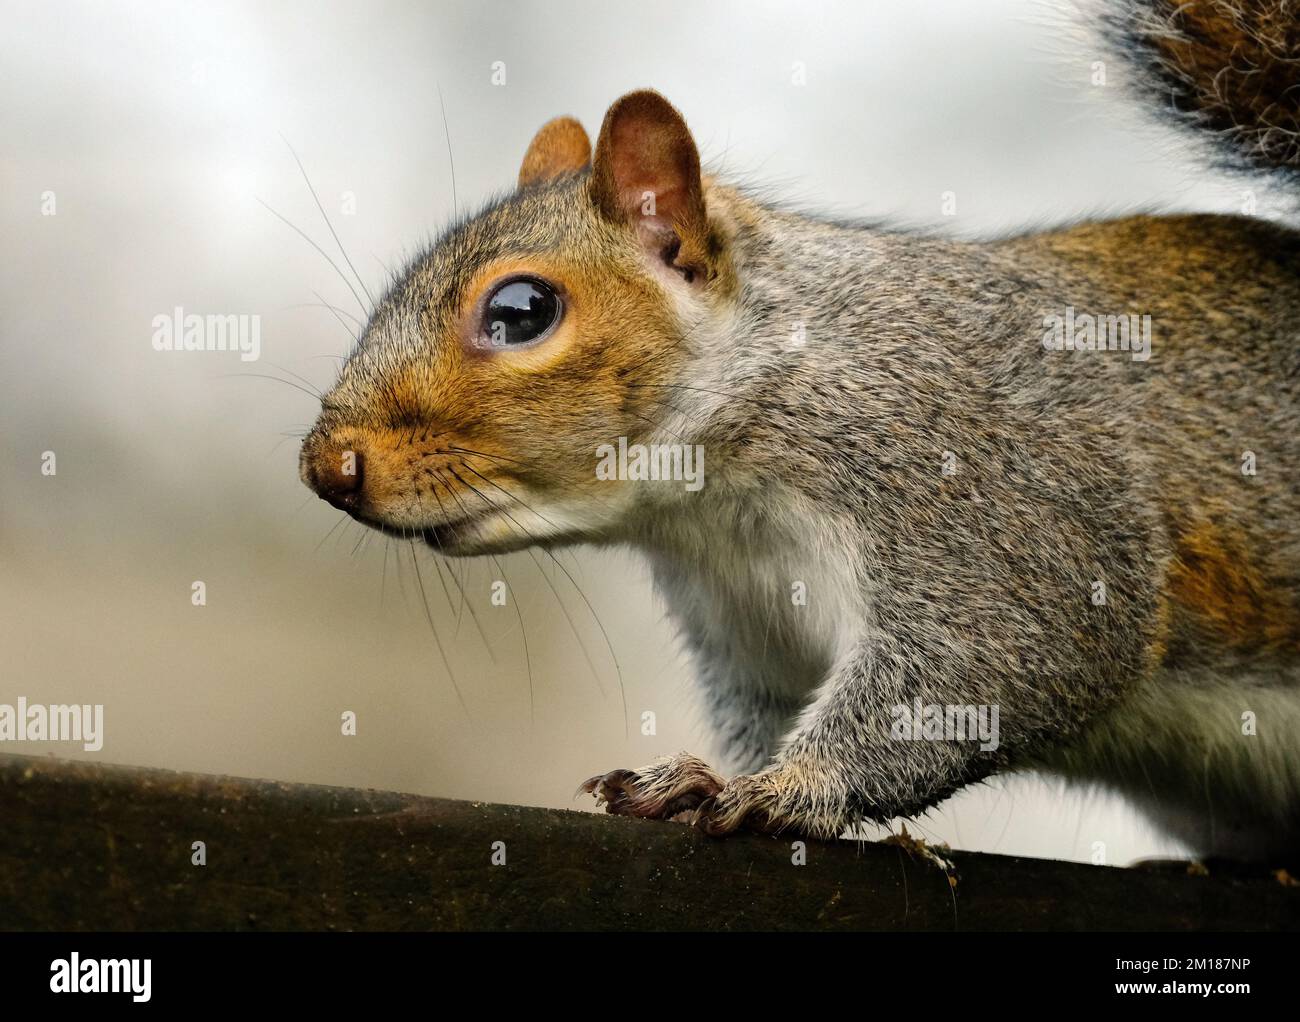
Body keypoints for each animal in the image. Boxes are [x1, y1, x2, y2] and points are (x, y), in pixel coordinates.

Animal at [301, 0, 1300, 861]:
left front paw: (778, 790)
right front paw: (701, 777)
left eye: (521, 311)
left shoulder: (986, 495)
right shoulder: (746, 634)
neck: (713, 495)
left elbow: (1002, 659)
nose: (326, 468)